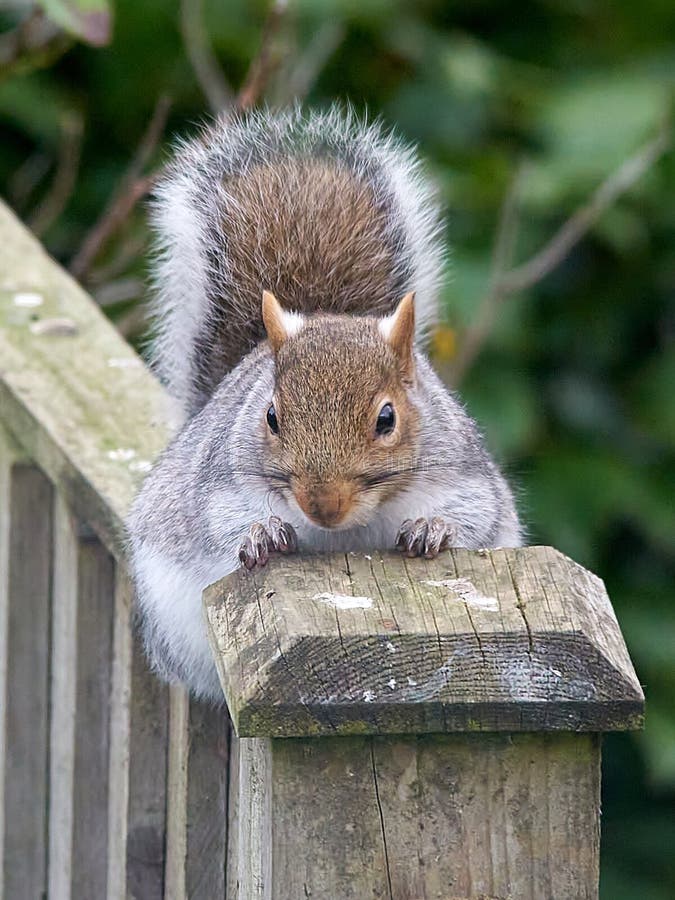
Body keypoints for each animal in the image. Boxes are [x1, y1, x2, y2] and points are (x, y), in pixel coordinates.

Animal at [128, 107, 523, 702]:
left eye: (387, 418)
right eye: (271, 416)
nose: (322, 506)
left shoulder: (467, 477)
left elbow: (475, 518)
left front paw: (432, 529)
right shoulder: (219, 485)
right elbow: (221, 525)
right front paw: (262, 535)